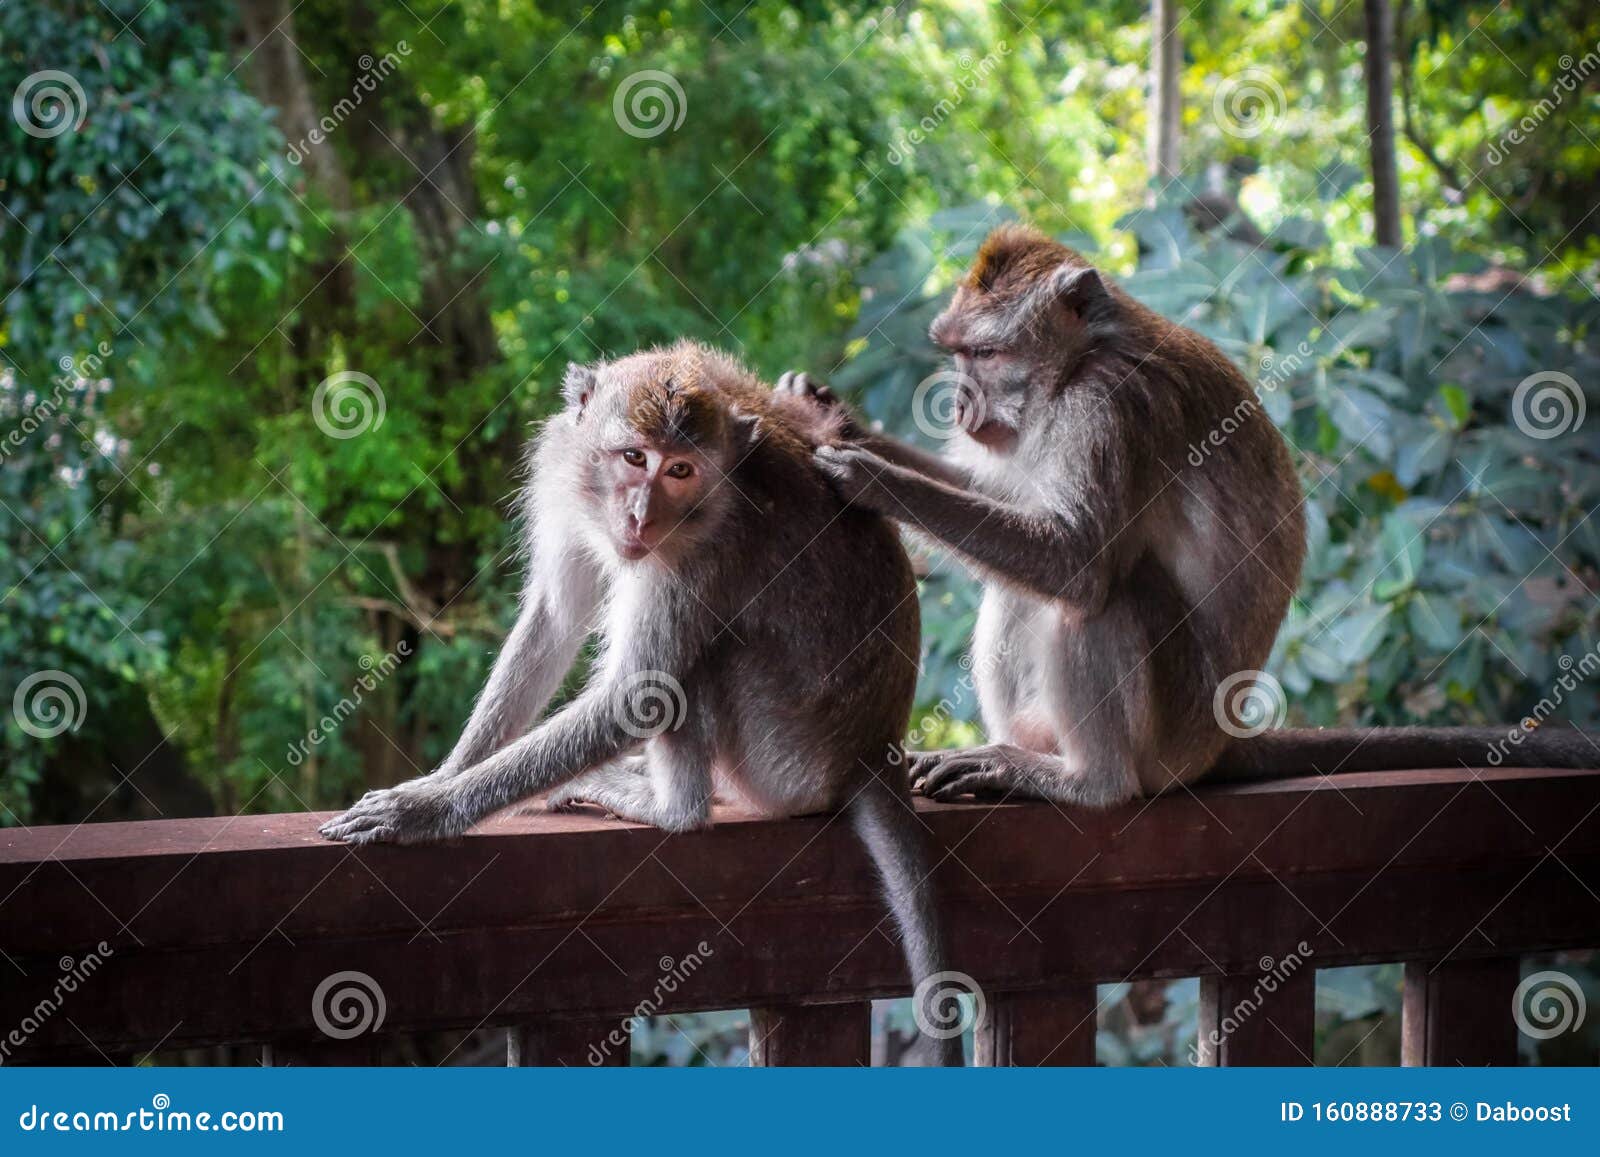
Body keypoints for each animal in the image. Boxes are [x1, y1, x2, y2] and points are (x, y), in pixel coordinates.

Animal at [320, 340, 964, 1065]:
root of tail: (873, 751)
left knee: (702, 662)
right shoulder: (563, 473)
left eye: (680, 470)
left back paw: (670, 806)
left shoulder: (701, 546)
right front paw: (444, 775)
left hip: (785, 756)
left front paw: (426, 811)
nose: (640, 518)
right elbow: (554, 618)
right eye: (633, 458)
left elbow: (640, 695)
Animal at [780, 222, 1597, 808]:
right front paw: (830, 419)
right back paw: (1032, 752)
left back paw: (1087, 782)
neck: (1080, 361)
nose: (957, 403)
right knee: (1019, 589)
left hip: (1171, 731)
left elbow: (1077, 561)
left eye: (983, 354)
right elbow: (1019, 511)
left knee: (1106, 594)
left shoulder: (1107, 411)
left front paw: (873, 477)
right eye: (954, 355)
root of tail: (1216, 745)